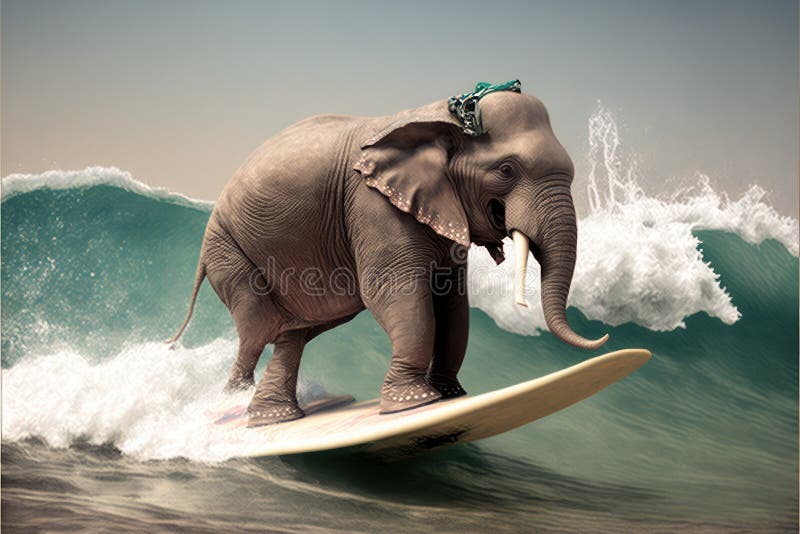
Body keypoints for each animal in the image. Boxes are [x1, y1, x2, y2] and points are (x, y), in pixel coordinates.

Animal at [168, 81, 608, 427]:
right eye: (506, 170)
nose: (601, 338)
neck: (442, 114)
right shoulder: (371, 202)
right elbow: (393, 291)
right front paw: (414, 404)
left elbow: (452, 301)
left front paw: (452, 397)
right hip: (230, 252)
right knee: (258, 329)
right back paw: (231, 407)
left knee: (293, 334)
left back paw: (271, 420)